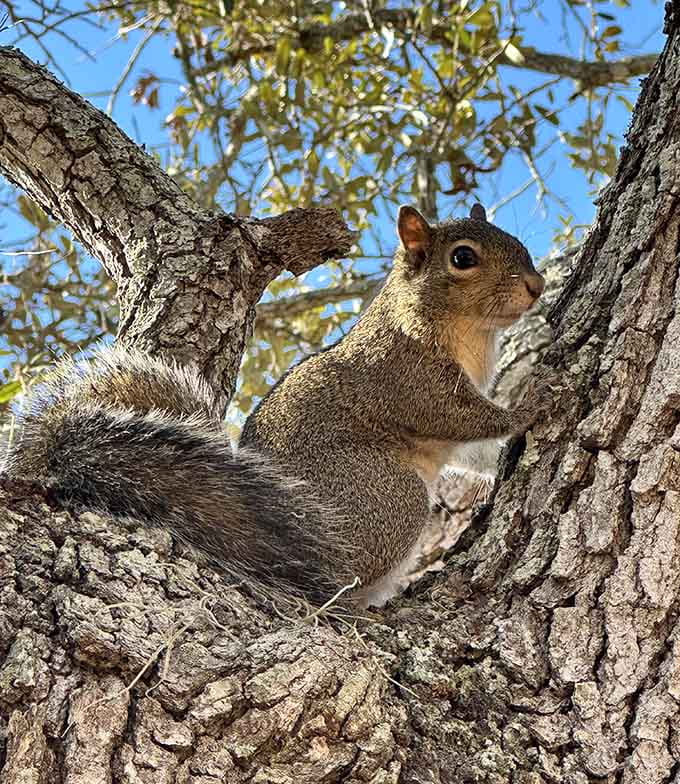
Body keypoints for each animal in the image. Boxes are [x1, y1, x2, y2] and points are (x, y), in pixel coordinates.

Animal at [3, 204, 550, 608]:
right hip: (389, 499)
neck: (471, 334)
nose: (538, 285)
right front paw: (530, 404)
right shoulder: (409, 379)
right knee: (335, 583)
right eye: (463, 258)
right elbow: (463, 417)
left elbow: (474, 452)